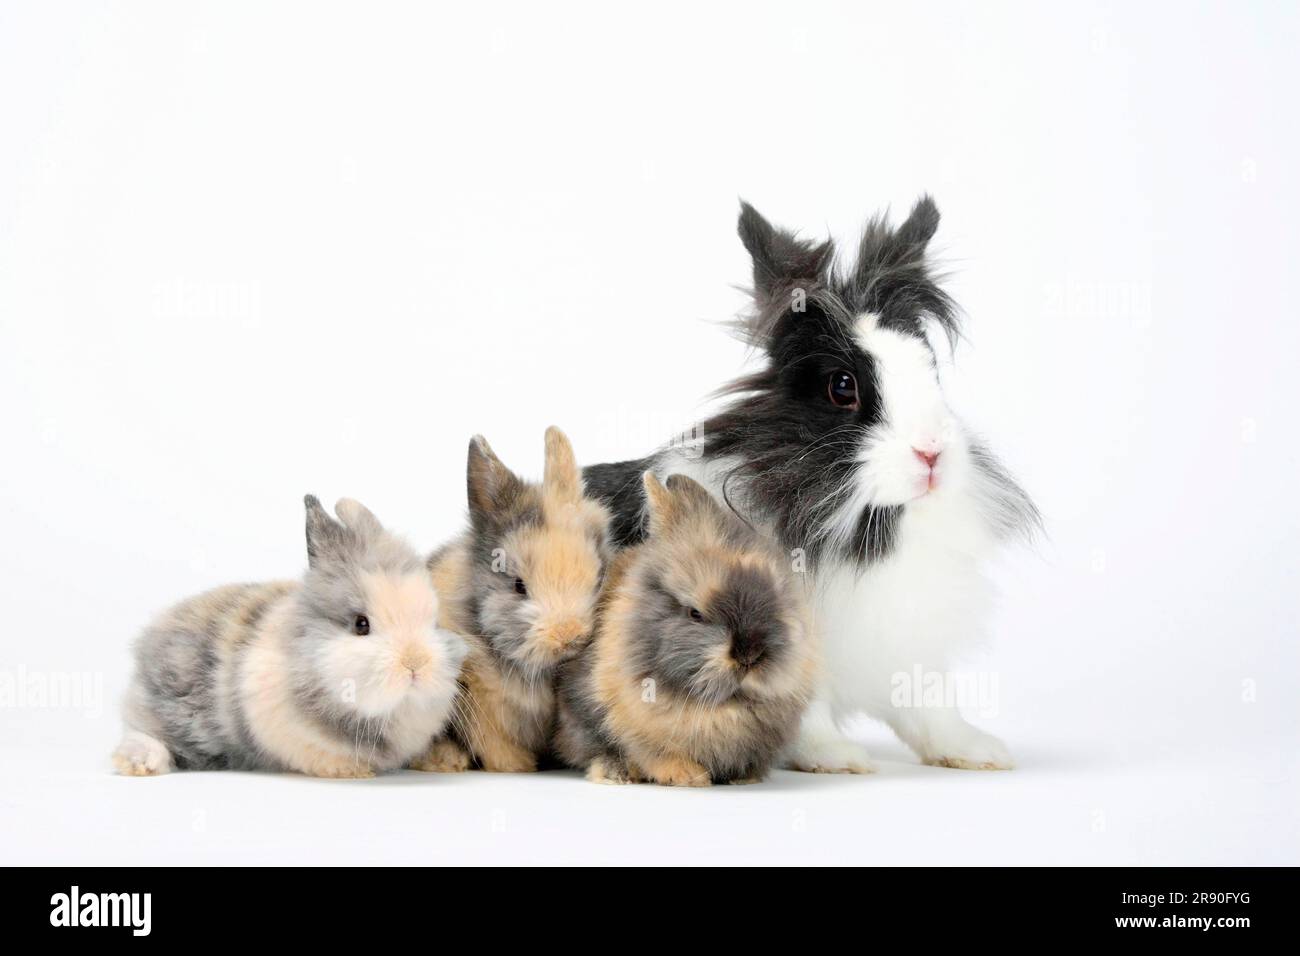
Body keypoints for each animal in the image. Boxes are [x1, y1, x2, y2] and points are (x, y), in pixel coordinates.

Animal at [112, 496, 468, 777]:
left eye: (433, 620)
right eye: (361, 624)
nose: (415, 664)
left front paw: (446, 761)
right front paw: (351, 770)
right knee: (143, 732)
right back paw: (140, 763)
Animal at [410, 426, 612, 774]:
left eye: (598, 575)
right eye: (519, 586)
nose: (570, 636)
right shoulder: (477, 699)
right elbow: (495, 744)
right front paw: (519, 767)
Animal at [554, 472, 819, 786]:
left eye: (777, 591)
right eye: (695, 613)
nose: (749, 655)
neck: (721, 707)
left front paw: (744, 778)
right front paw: (688, 776)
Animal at [583, 199, 1039, 773]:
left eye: (931, 370)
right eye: (842, 387)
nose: (932, 453)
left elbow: (928, 702)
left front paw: (976, 751)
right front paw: (837, 758)